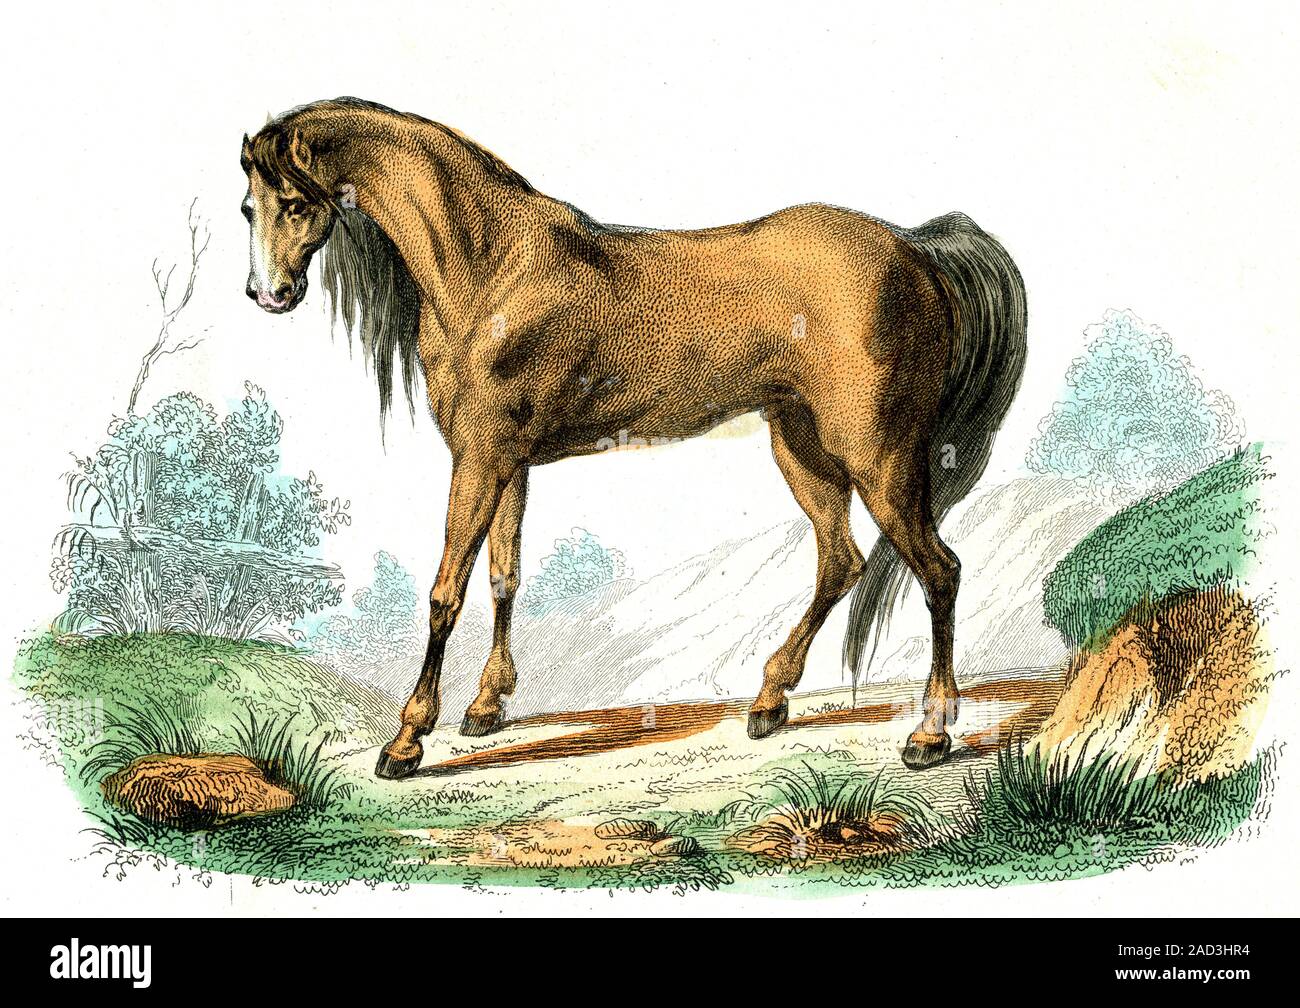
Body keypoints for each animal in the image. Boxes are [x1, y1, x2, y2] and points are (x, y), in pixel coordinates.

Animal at [240, 97, 1026, 780]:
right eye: (250, 206)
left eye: (296, 202)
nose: (268, 294)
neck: (491, 263)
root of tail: (918, 250)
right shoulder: (508, 462)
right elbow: (503, 576)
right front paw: (488, 705)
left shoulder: (480, 457)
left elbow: (445, 591)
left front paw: (407, 740)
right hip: (803, 449)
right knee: (842, 562)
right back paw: (769, 702)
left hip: (880, 458)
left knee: (939, 571)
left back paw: (929, 735)